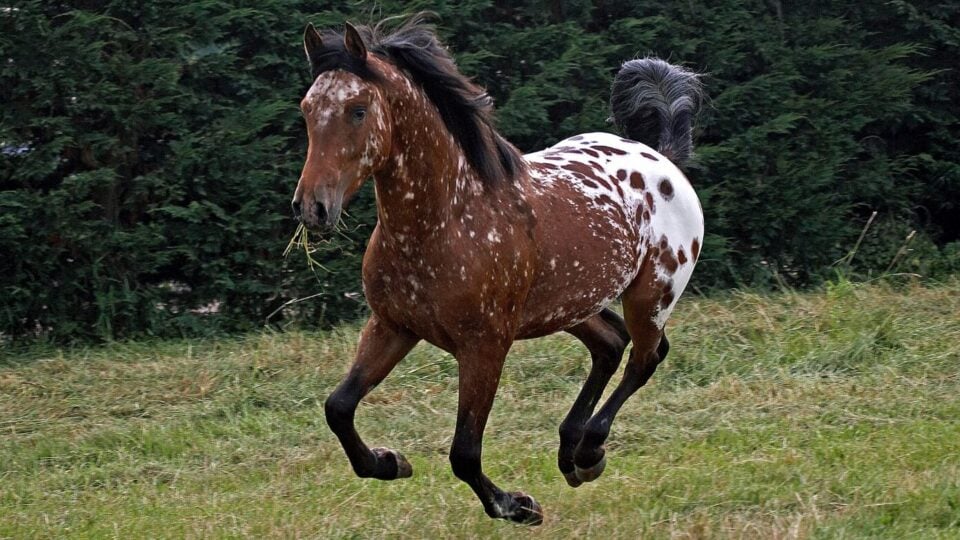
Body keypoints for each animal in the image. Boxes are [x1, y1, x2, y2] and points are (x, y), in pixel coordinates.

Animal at [292, 15, 704, 525]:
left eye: (358, 110)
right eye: (307, 108)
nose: (312, 208)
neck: (445, 221)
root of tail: (662, 158)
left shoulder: (484, 347)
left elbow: (464, 452)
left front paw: (517, 506)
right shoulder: (392, 326)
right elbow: (338, 407)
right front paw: (389, 462)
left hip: (650, 297)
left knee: (646, 357)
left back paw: (589, 451)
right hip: (566, 306)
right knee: (611, 343)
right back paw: (571, 453)